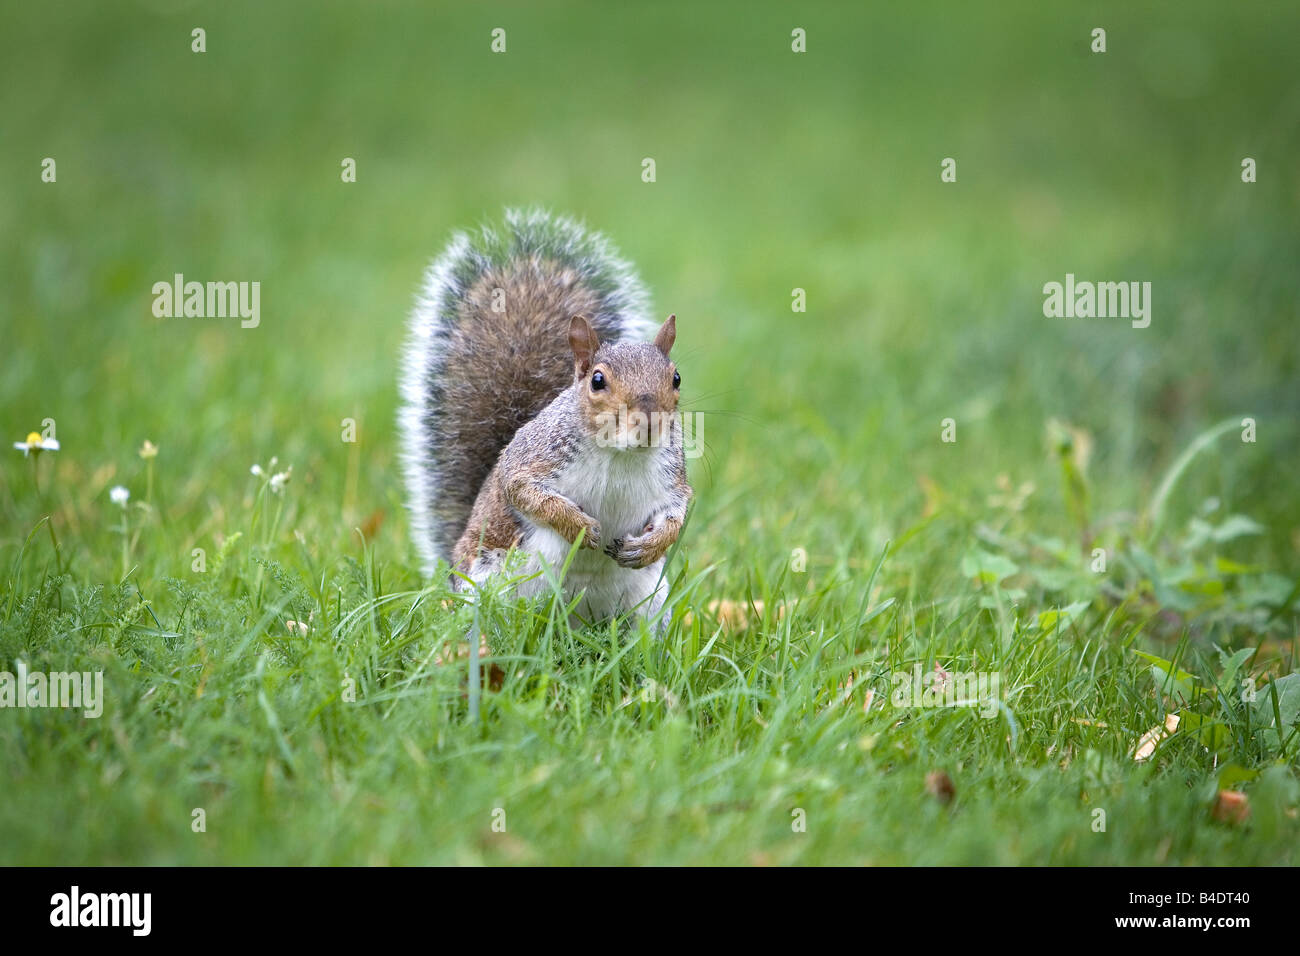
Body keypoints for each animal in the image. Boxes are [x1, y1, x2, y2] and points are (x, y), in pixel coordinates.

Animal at [399, 209, 692, 623]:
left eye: (676, 378)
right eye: (597, 381)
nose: (650, 422)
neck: (619, 454)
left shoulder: (671, 480)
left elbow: (677, 513)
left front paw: (651, 546)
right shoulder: (532, 460)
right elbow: (526, 492)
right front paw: (580, 527)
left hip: (648, 603)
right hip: (488, 585)